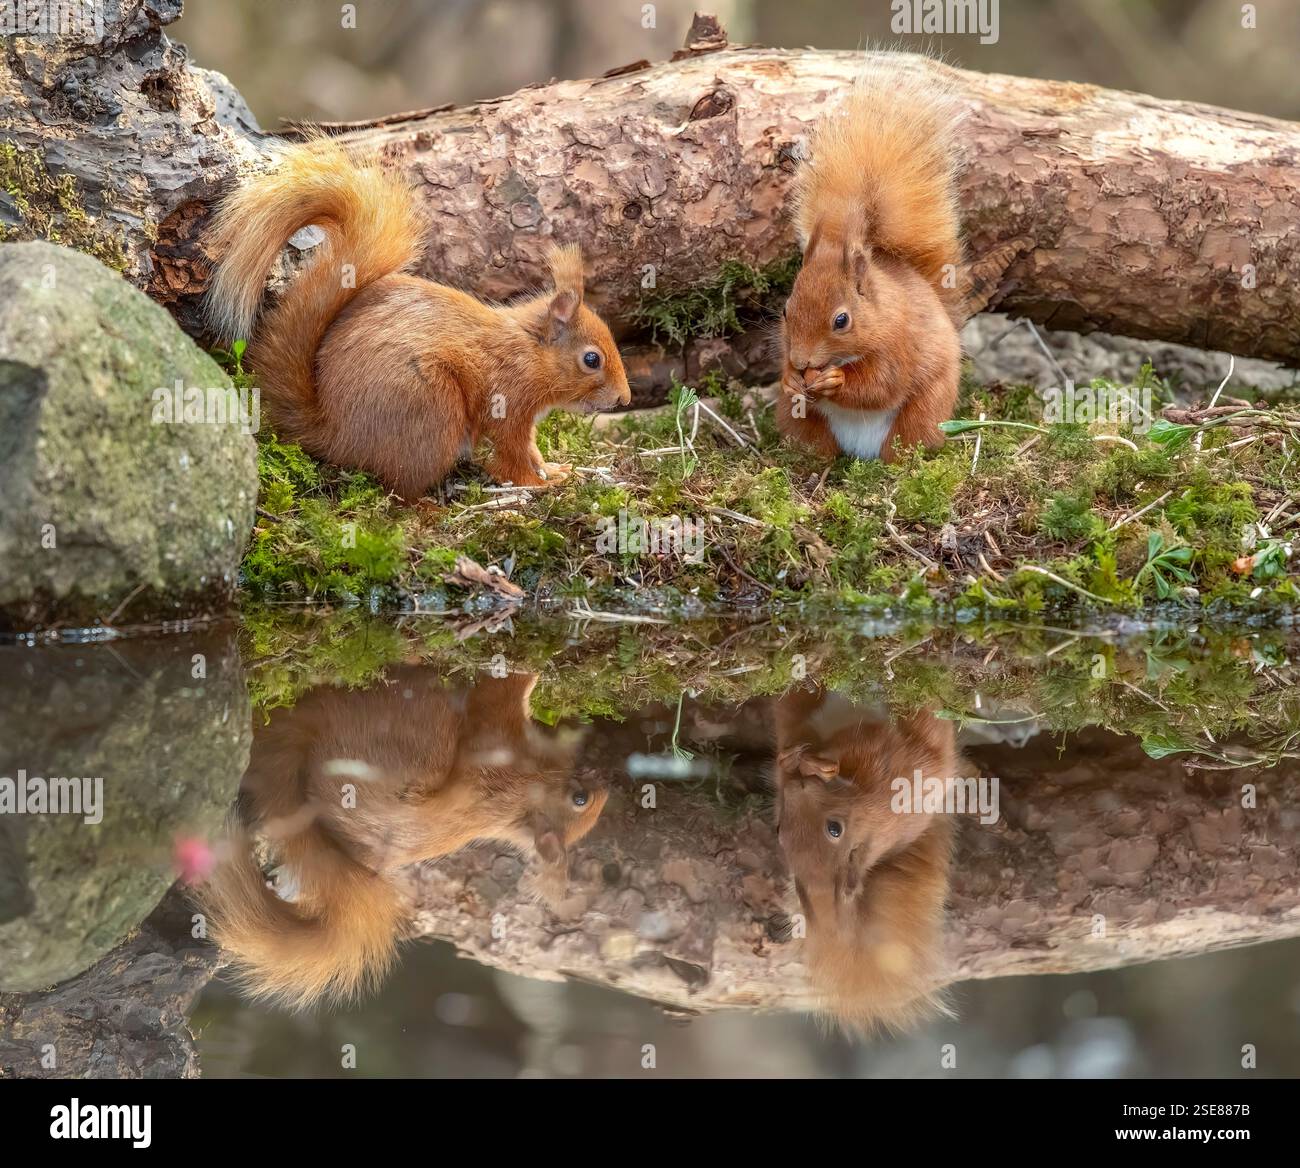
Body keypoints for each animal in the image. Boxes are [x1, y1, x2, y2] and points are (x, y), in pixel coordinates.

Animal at [204, 137, 631, 499]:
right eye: (591, 359)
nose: (624, 399)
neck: (530, 350)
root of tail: (334, 432)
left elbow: (532, 448)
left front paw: (554, 469)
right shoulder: (508, 401)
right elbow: (512, 455)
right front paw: (537, 483)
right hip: (433, 410)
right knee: (401, 490)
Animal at [777, 61, 964, 463]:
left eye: (841, 320)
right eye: (785, 310)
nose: (801, 362)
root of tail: (858, 452)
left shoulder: (898, 345)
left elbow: (881, 386)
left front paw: (835, 382)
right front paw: (789, 379)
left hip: (921, 414)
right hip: (803, 424)